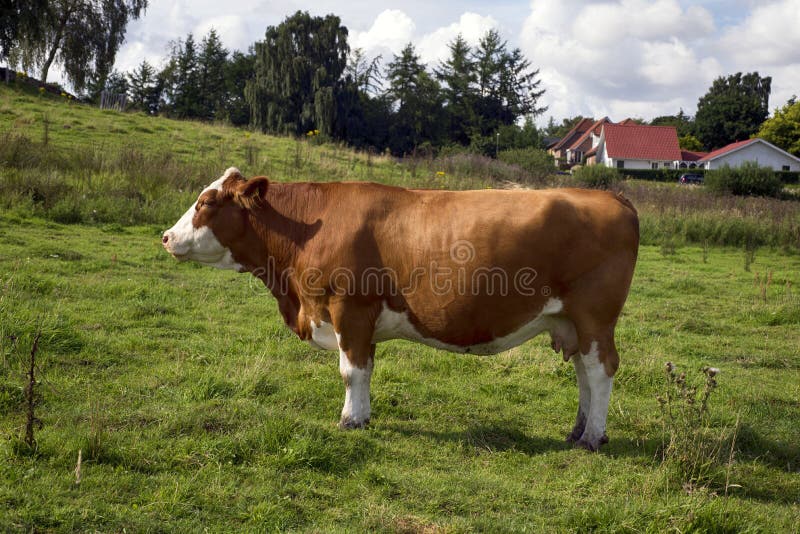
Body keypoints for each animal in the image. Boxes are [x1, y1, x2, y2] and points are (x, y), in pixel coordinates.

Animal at [162, 167, 639, 451]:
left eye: (206, 202)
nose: (166, 237)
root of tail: (610, 197)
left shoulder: (349, 308)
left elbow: (351, 371)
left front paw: (350, 421)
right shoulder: (360, 320)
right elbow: (366, 369)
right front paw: (363, 415)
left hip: (595, 317)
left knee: (601, 370)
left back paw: (593, 437)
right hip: (570, 322)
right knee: (584, 373)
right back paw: (577, 431)